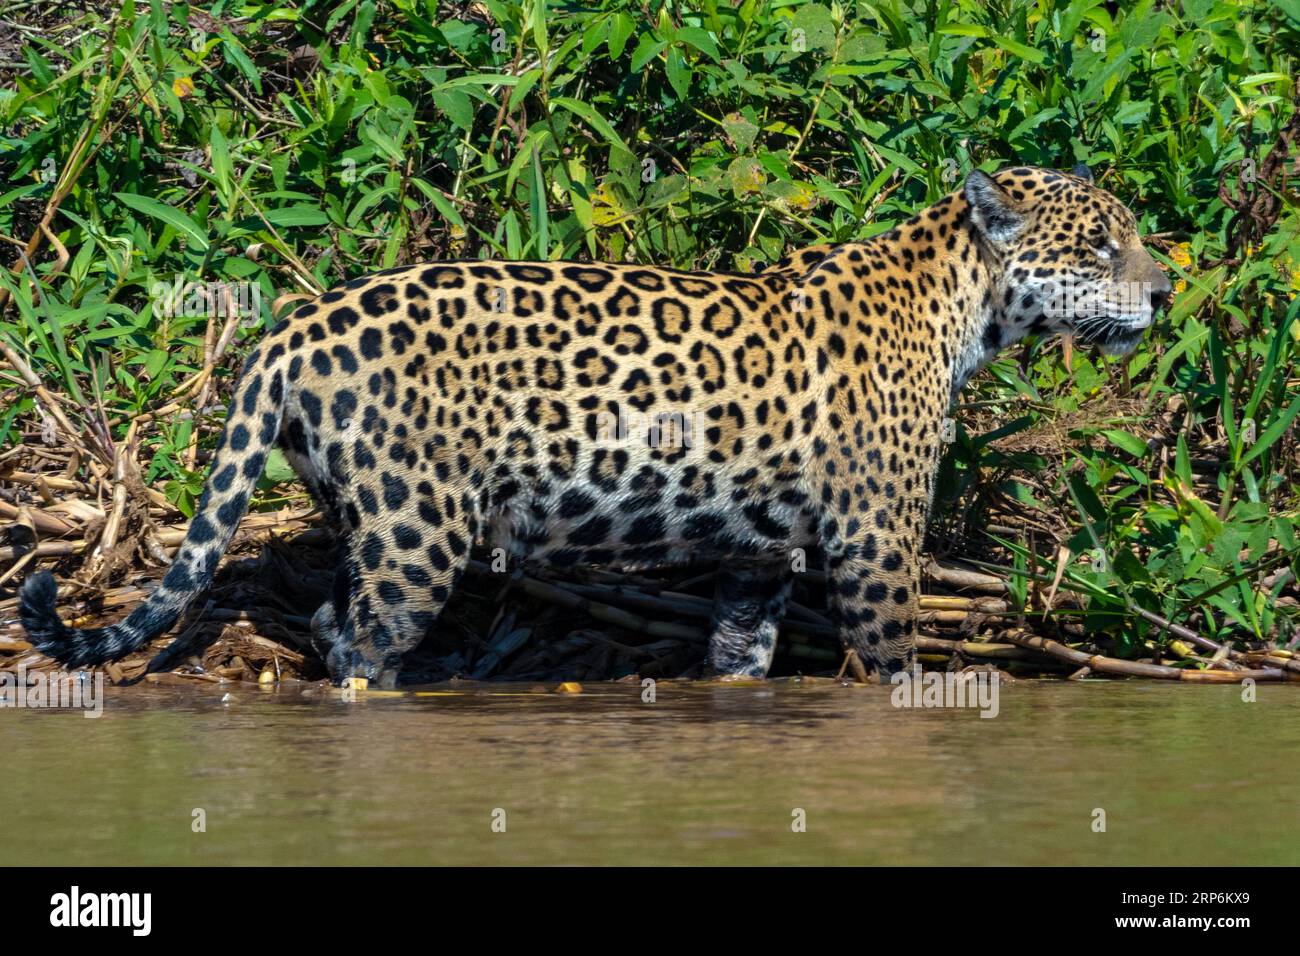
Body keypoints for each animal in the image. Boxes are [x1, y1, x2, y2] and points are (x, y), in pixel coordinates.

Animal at [20, 164, 1172, 688]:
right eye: (1101, 245)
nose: (1165, 293)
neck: (958, 304)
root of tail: (293, 327)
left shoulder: (758, 549)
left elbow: (742, 652)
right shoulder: (876, 538)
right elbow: (893, 663)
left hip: (363, 515)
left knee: (328, 621)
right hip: (415, 529)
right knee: (361, 646)